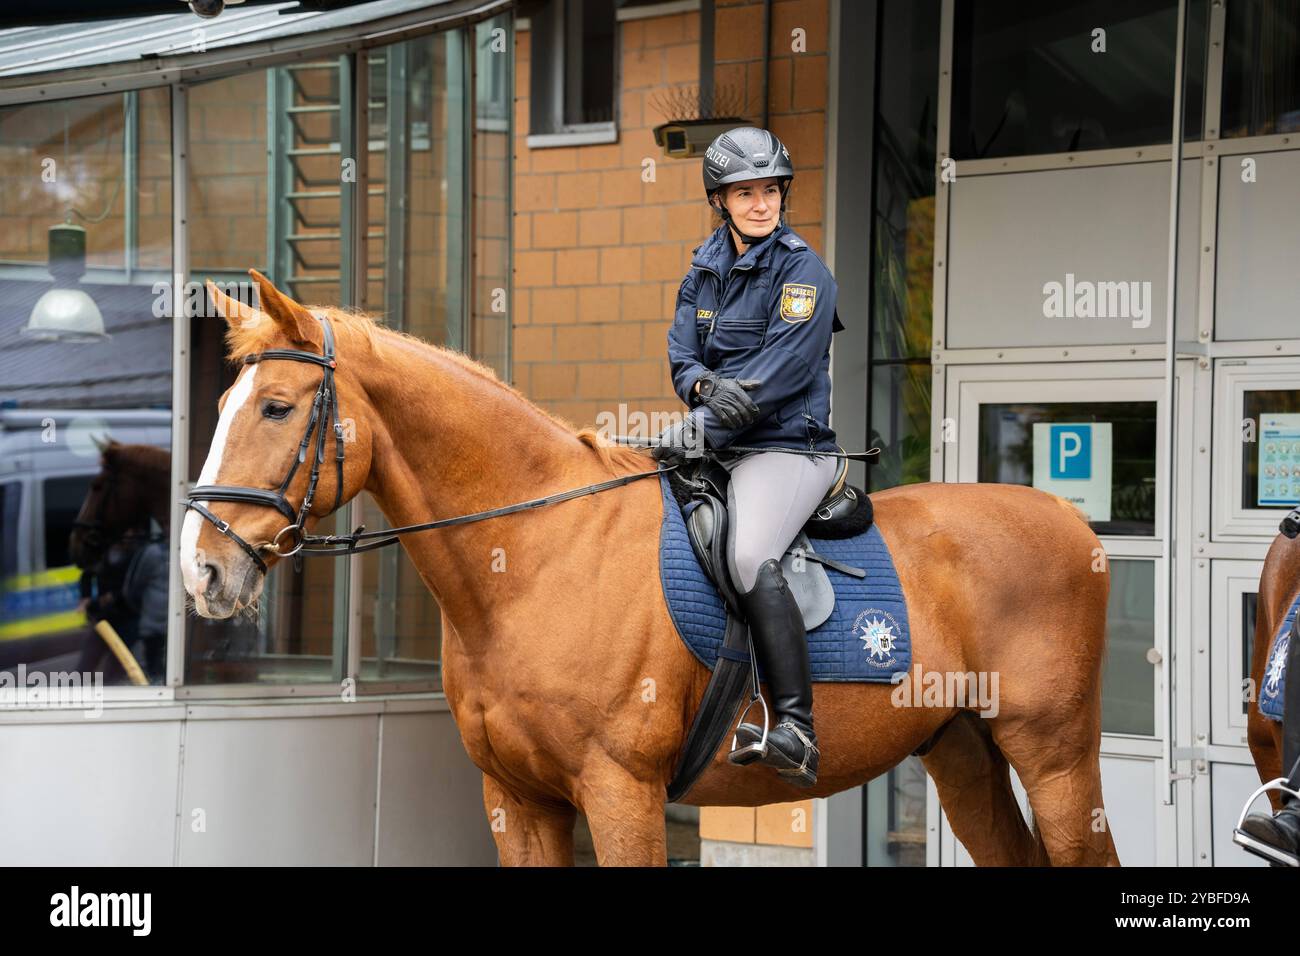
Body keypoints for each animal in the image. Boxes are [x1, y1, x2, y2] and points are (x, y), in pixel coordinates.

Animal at [181, 271, 1120, 866]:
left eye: (276, 408)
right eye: (225, 403)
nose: (202, 572)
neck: (532, 557)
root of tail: (1071, 521)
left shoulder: (620, 790)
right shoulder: (517, 801)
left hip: (1057, 759)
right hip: (961, 751)